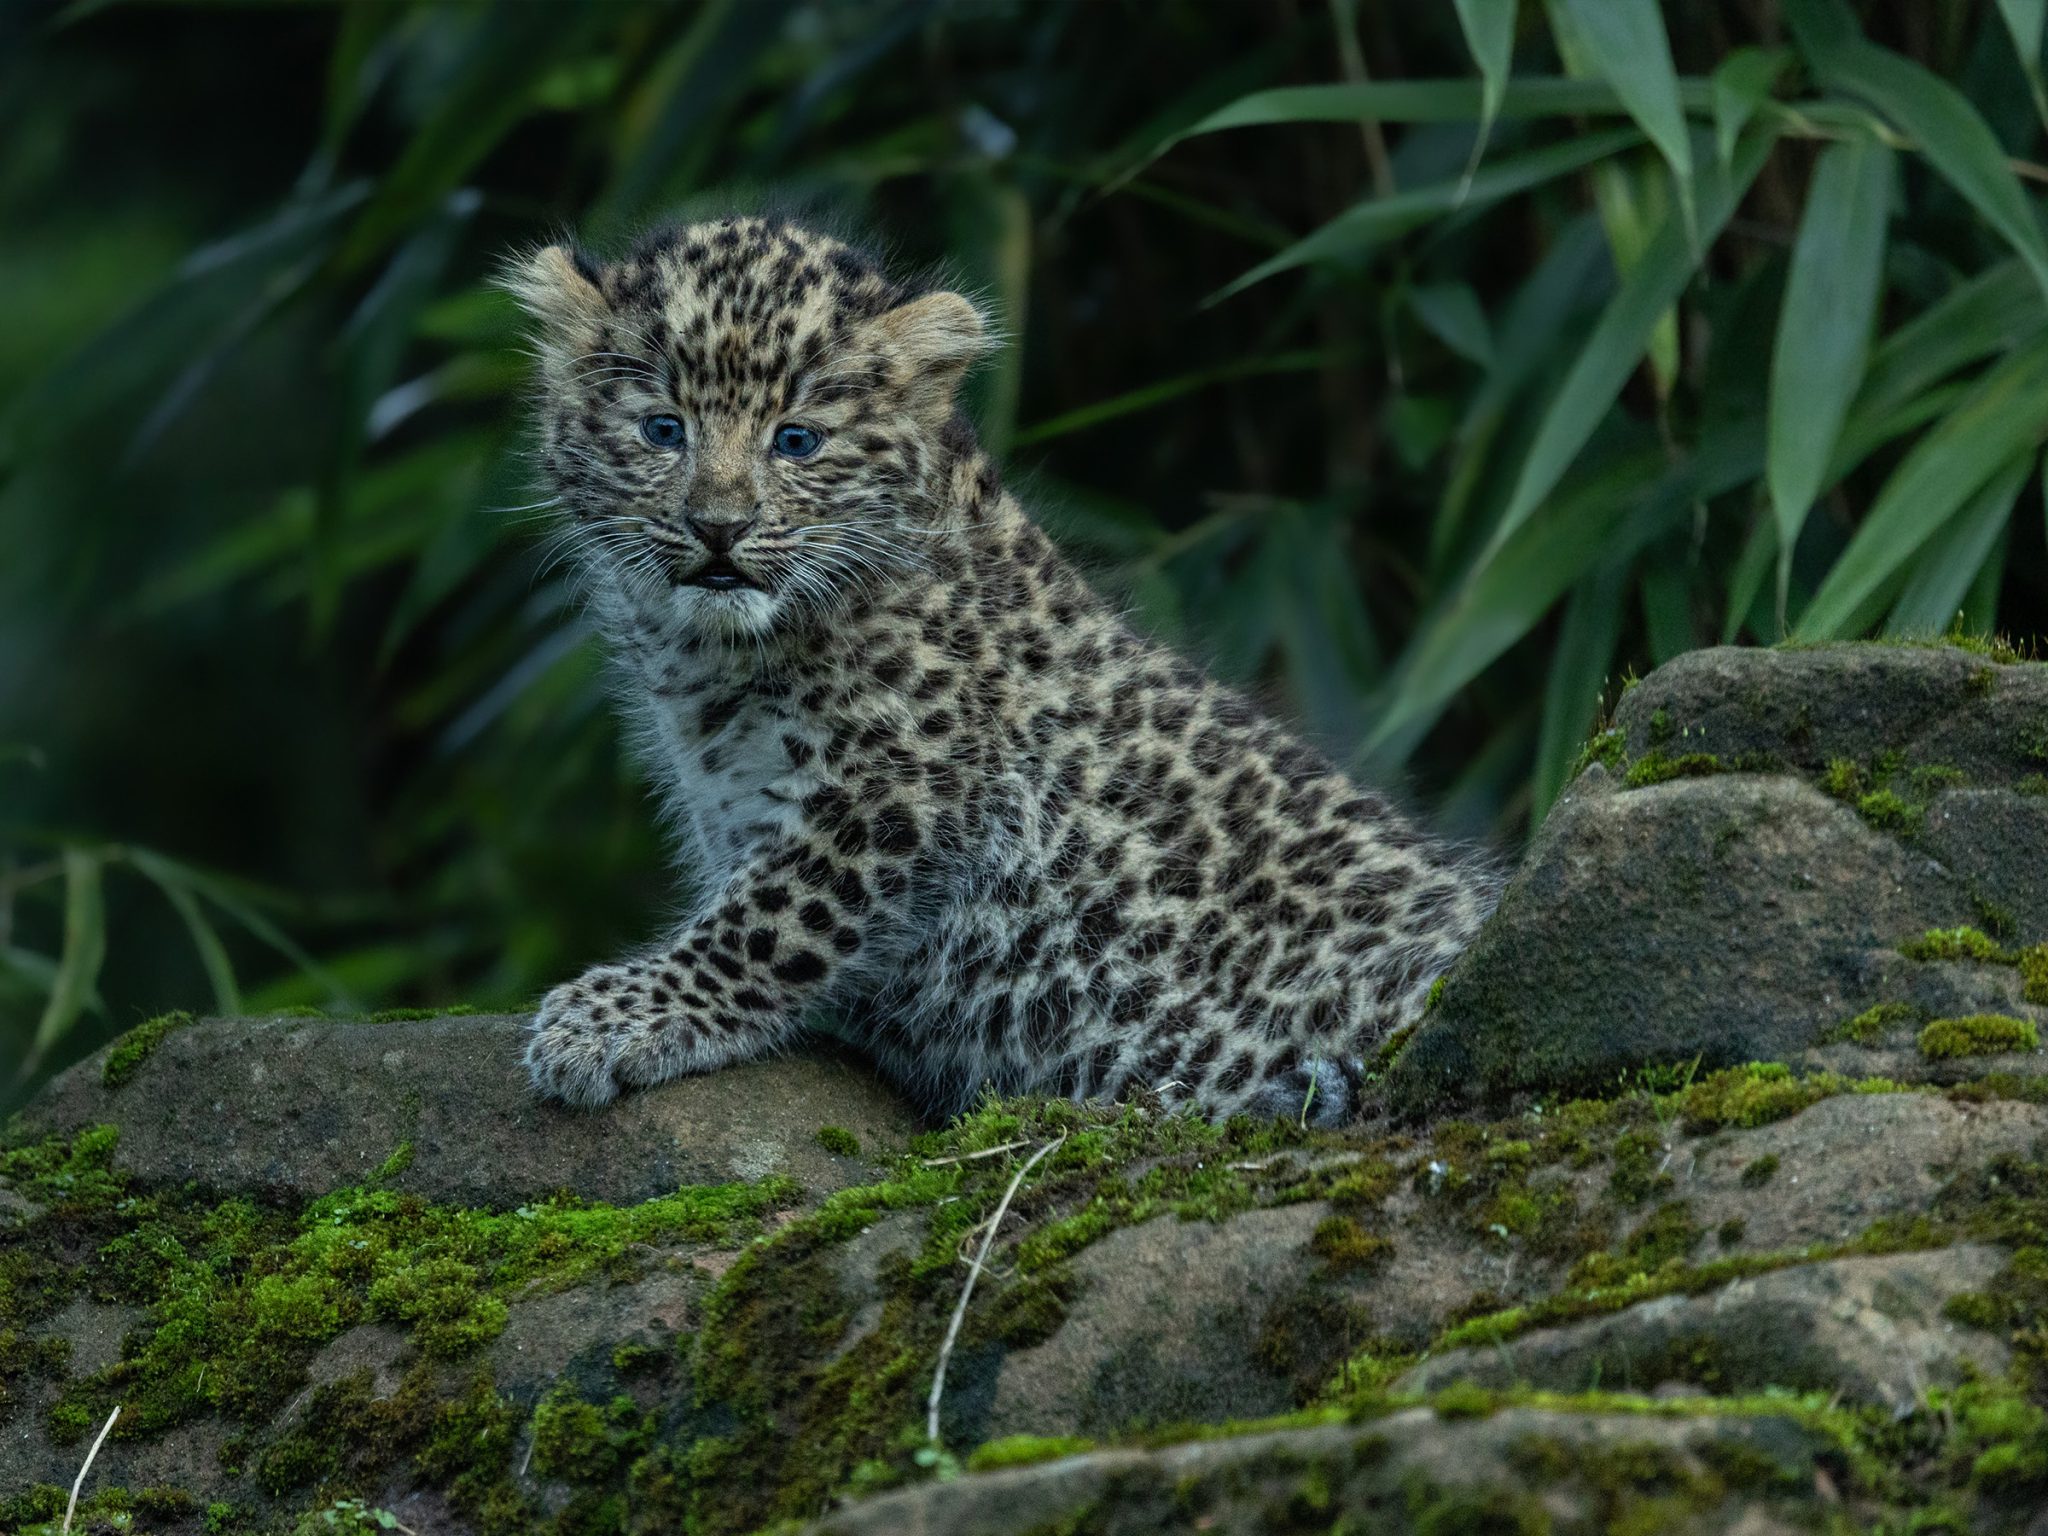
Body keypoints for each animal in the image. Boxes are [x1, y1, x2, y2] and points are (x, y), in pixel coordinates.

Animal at [509, 215, 1501, 1127]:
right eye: (662, 430)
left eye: (796, 441)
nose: (719, 527)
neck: (716, 654)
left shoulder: (904, 789)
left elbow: (770, 922)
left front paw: (612, 1018)